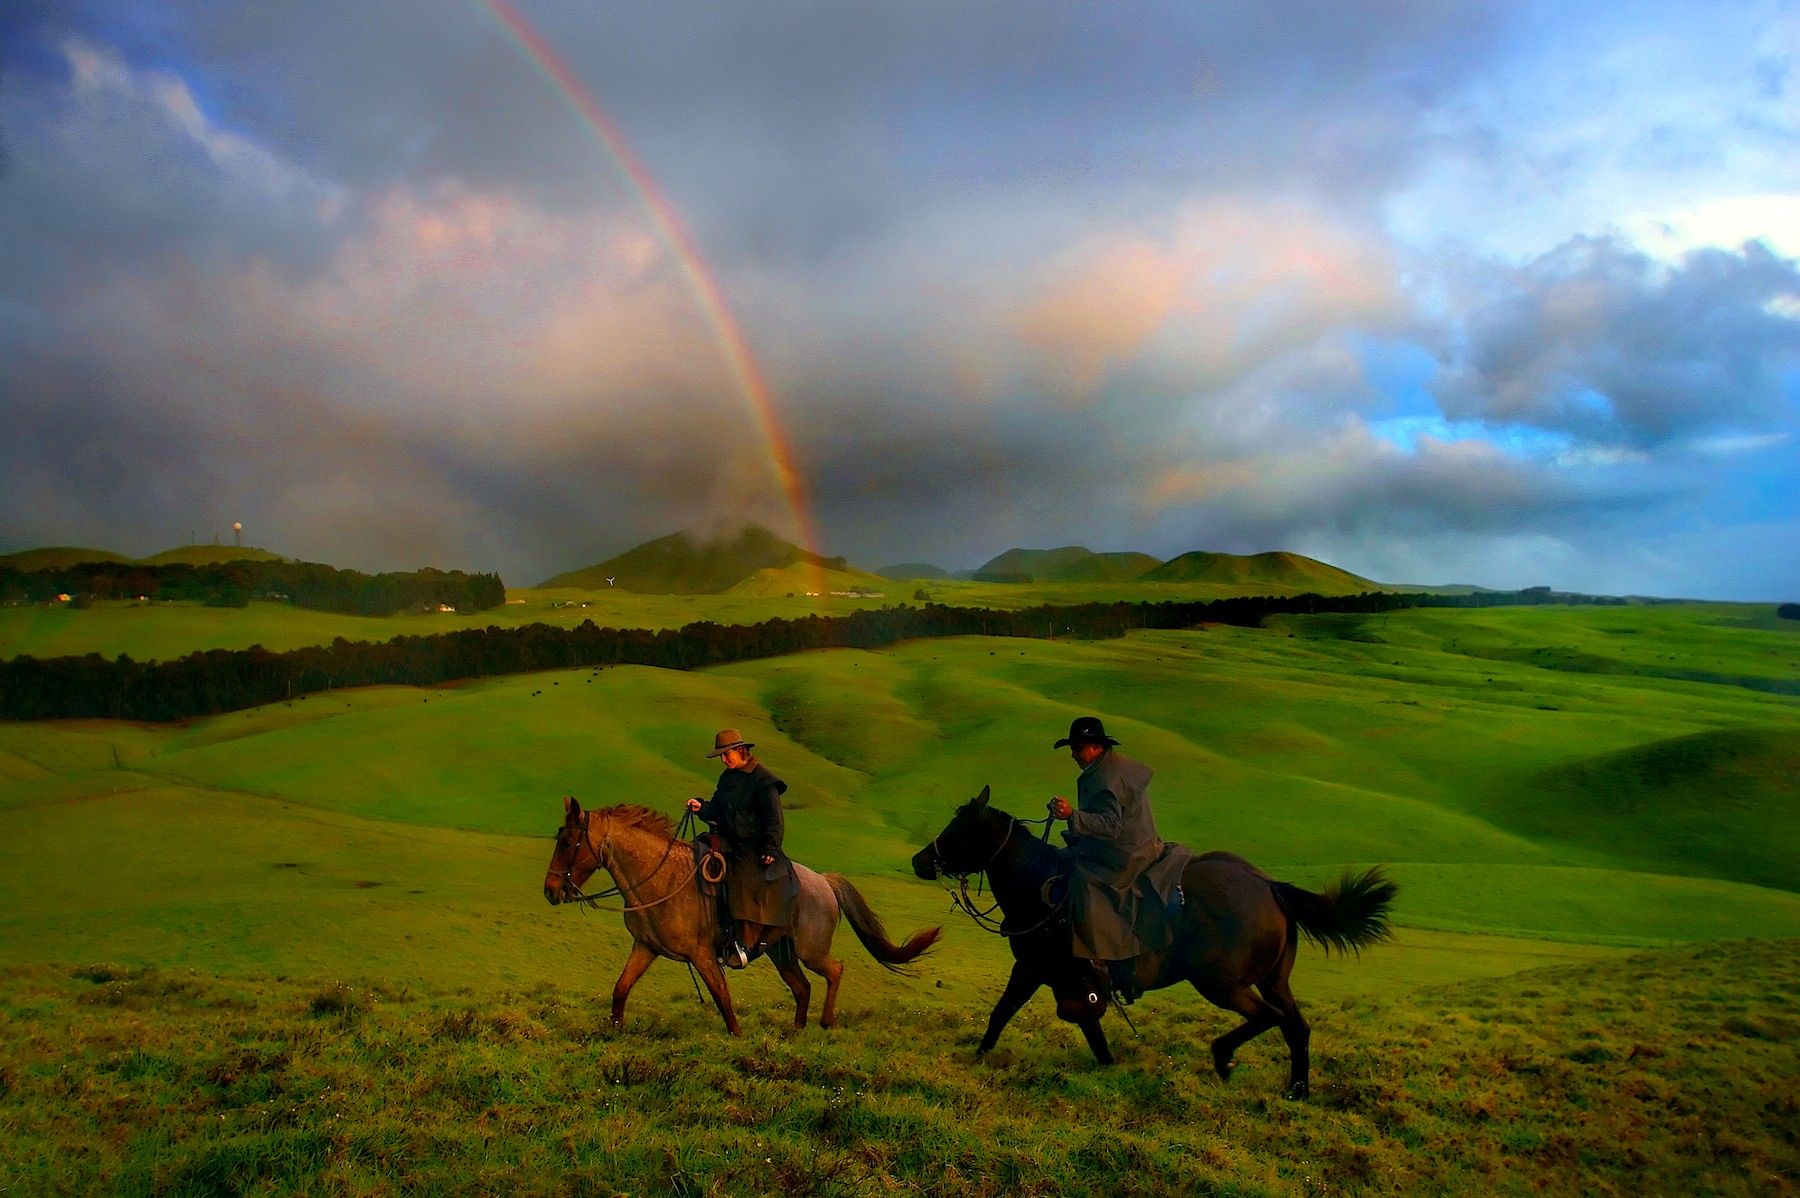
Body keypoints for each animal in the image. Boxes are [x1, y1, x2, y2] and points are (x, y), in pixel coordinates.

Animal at [543, 791, 943, 1028]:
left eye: (568, 840)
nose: (550, 891)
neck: (660, 877)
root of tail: (825, 882)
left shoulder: (703, 956)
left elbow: (723, 999)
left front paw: (735, 1037)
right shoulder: (646, 948)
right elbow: (620, 989)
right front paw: (615, 1030)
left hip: (810, 951)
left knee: (834, 971)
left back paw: (825, 1023)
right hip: (783, 954)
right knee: (802, 988)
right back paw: (795, 1031)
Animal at [907, 784, 1396, 1093]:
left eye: (960, 831)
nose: (919, 860)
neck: (1040, 889)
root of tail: (1269, 885)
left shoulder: (1041, 970)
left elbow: (1011, 1014)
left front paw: (977, 1056)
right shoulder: (1057, 977)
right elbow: (1064, 1026)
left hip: (1222, 984)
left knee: (1268, 1017)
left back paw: (1224, 1057)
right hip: (1272, 980)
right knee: (1296, 1026)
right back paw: (1296, 1089)